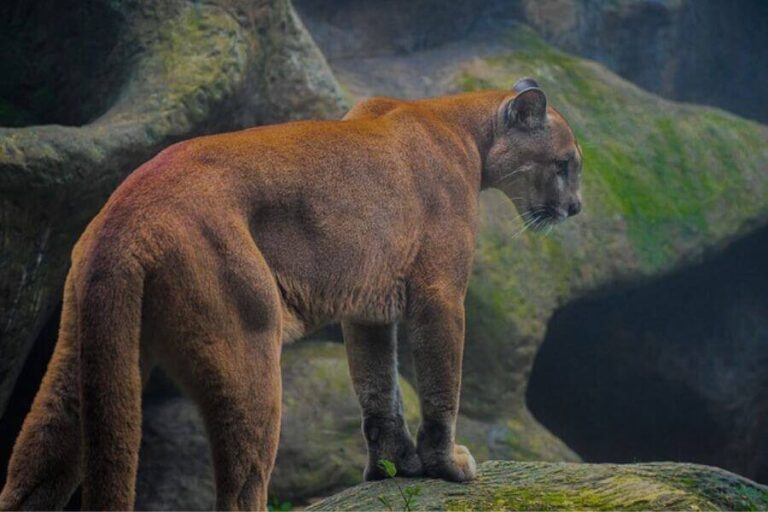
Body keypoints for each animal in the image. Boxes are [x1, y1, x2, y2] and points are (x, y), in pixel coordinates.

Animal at [0, 77, 582, 511]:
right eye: (566, 164)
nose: (576, 208)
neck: (463, 129)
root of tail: (126, 207)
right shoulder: (440, 293)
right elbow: (440, 385)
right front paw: (447, 466)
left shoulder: (367, 309)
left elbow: (378, 388)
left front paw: (394, 466)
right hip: (249, 353)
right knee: (241, 488)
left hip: (84, 356)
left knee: (30, 473)